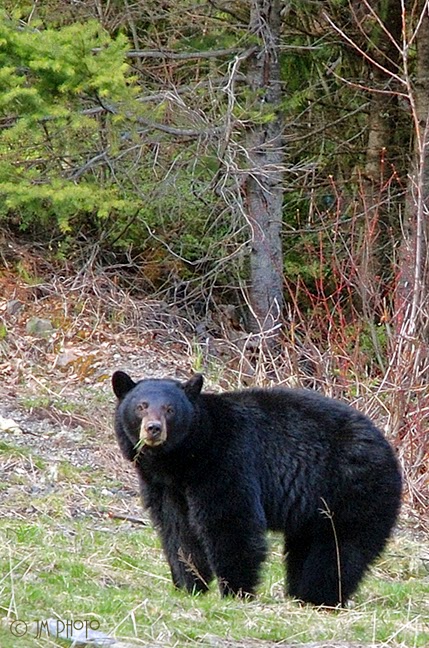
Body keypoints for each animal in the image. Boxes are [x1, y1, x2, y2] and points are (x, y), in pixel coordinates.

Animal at [112, 371, 402, 606]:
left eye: (170, 409)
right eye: (141, 406)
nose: (153, 429)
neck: (184, 459)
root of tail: (389, 450)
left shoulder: (227, 460)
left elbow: (231, 521)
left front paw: (236, 590)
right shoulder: (164, 486)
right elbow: (178, 530)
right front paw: (189, 585)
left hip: (351, 489)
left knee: (340, 548)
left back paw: (317, 597)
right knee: (305, 547)